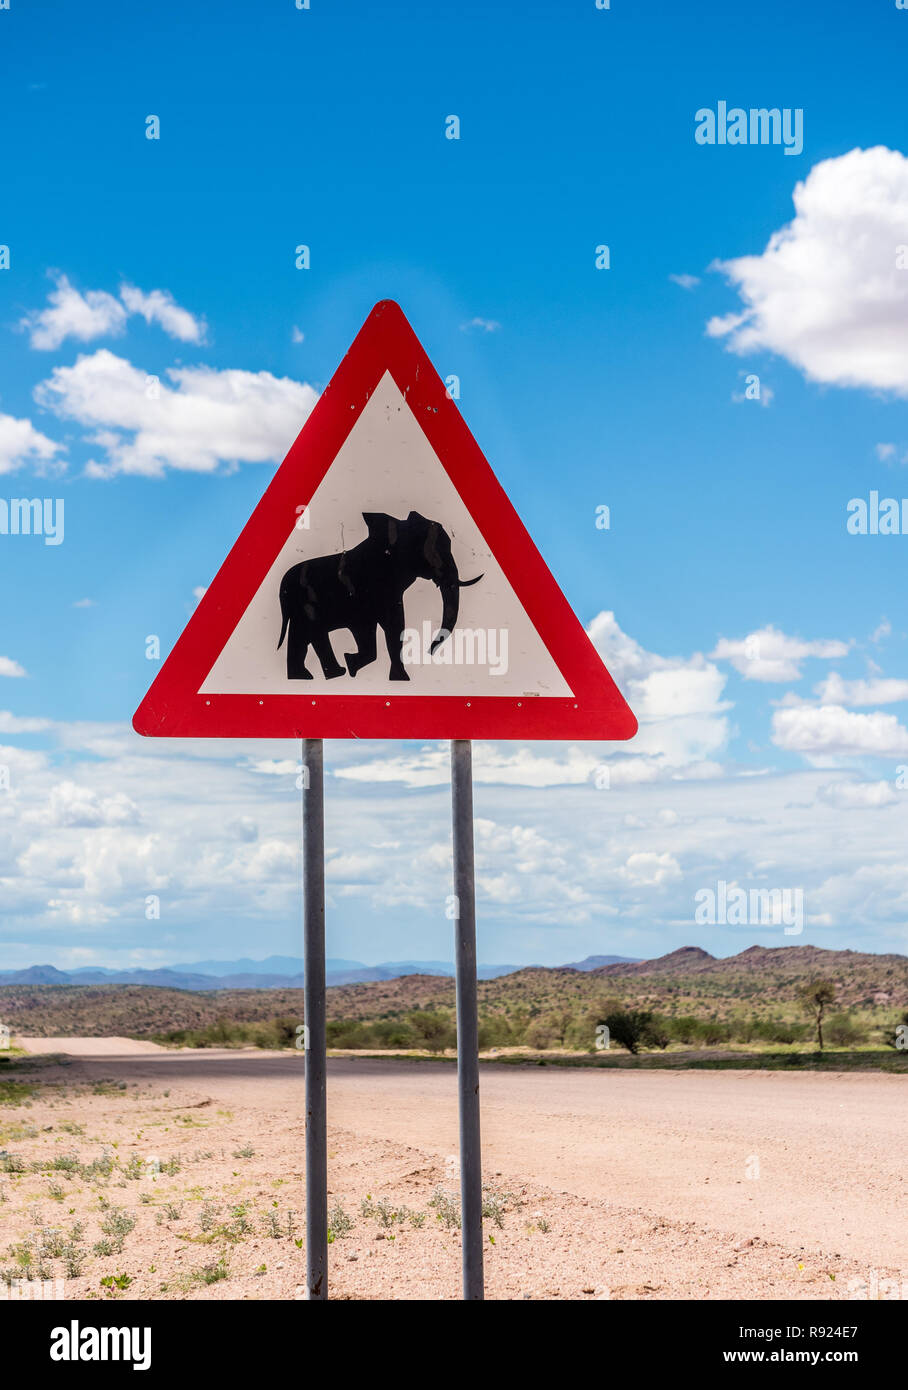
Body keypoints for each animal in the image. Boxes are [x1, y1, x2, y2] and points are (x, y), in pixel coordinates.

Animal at [277, 510, 483, 680]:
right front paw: (352, 664)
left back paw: (311, 676)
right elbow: (381, 628)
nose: (428, 652)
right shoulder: (366, 595)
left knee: (303, 637)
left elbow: (394, 626)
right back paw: (327, 674)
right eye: (435, 552)